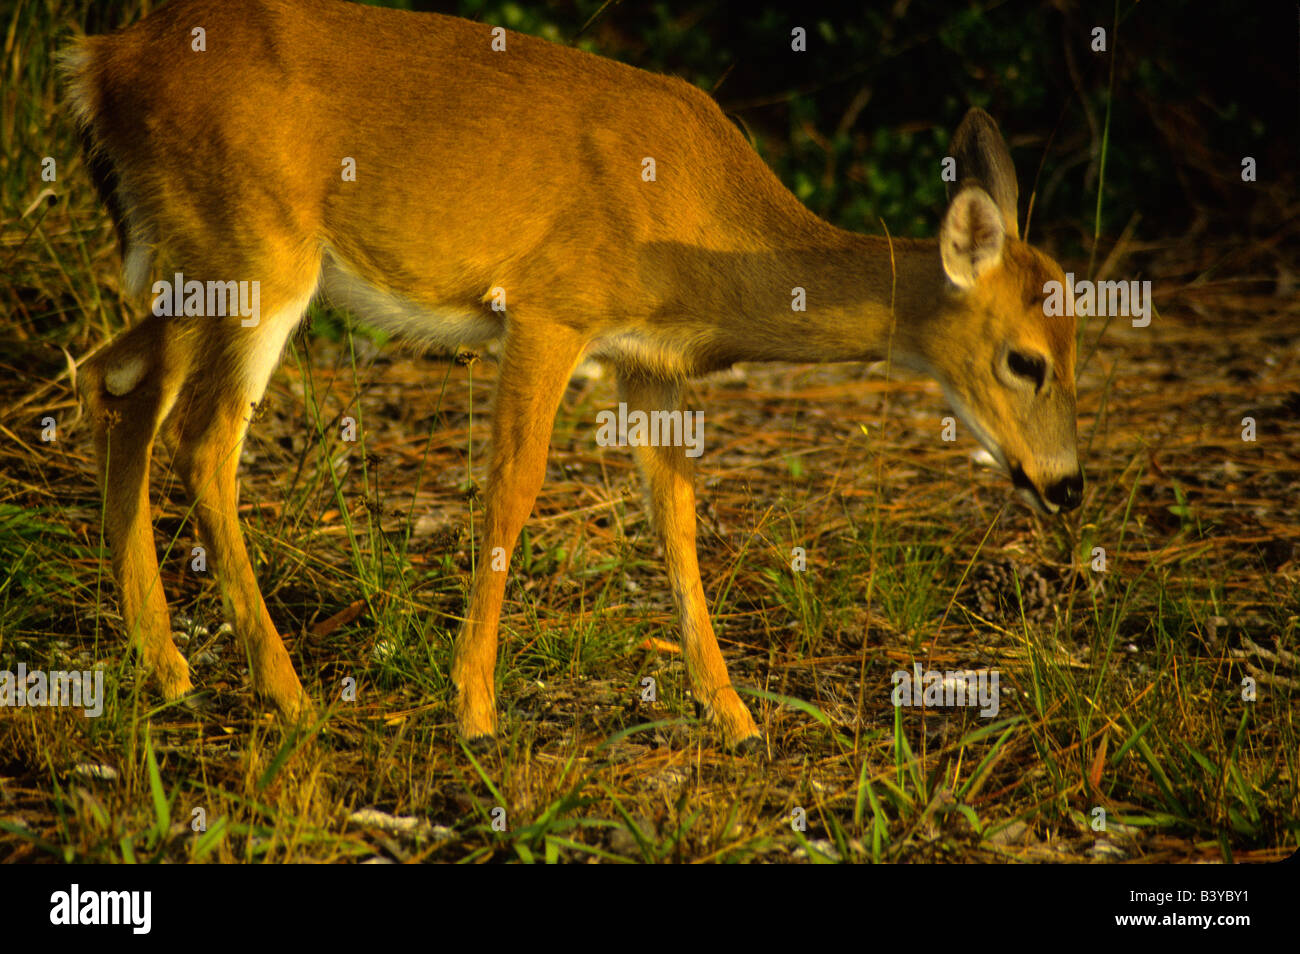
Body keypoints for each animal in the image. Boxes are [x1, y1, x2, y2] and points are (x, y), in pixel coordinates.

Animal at [63, 0, 1082, 750]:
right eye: (1024, 358)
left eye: (1078, 347)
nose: (1068, 486)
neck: (704, 236)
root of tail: (100, 60)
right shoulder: (552, 309)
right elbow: (512, 490)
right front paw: (474, 711)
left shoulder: (649, 360)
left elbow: (676, 519)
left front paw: (734, 717)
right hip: (258, 249)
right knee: (201, 440)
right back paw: (289, 698)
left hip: (195, 258)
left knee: (115, 381)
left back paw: (166, 667)